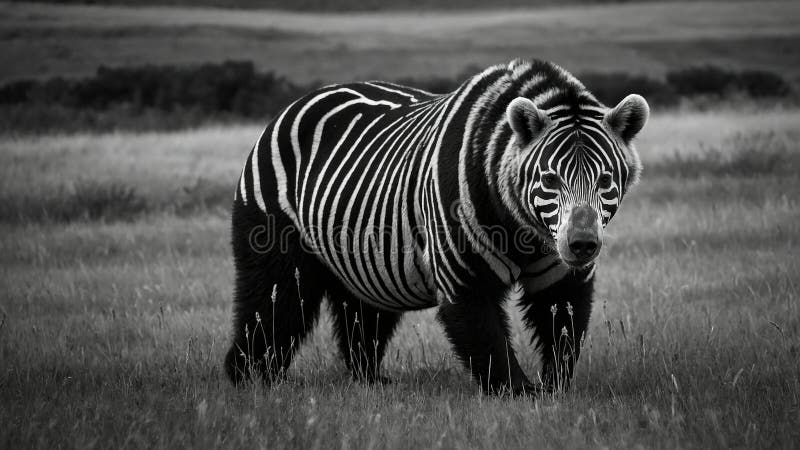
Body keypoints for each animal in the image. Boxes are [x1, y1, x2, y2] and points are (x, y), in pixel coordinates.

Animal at [225, 58, 649, 394]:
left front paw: (553, 390)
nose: (582, 245)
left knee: (360, 318)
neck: (524, 230)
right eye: (550, 179)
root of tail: (299, 102)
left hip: (365, 257)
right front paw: (518, 395)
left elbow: (563, 332)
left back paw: (370, 382)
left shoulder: (559, 279)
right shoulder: (463, 274)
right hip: (279, 252)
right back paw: (250, 380)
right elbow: (488, 340)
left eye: (606, 179)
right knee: (269, 310)